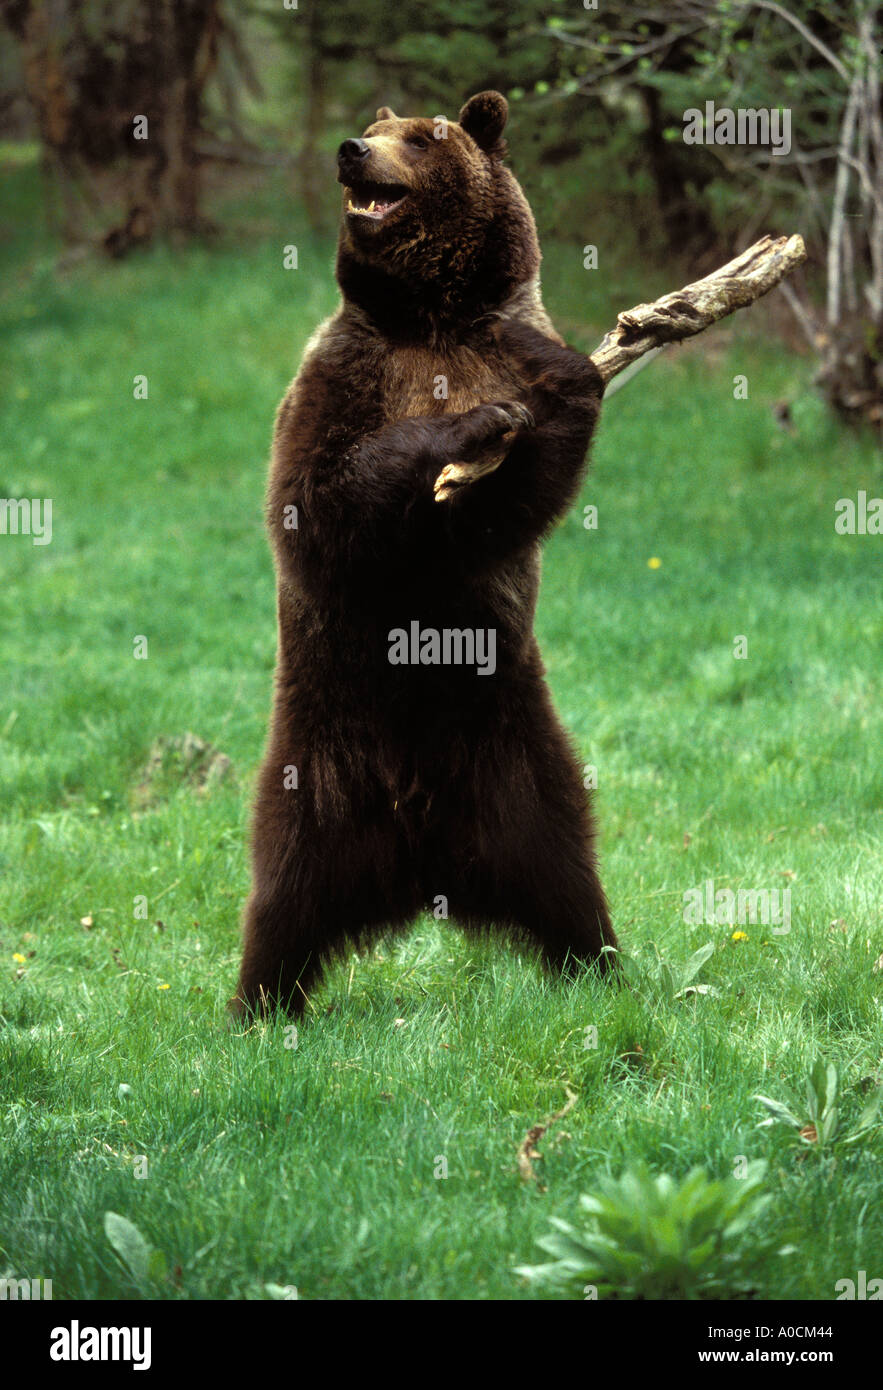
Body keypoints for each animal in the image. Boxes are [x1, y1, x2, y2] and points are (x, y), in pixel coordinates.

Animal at [230, 90, 619, 1020]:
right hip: (317, 762)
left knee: (565, 866)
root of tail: (419, 866)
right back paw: (256, 1004)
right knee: (281, 895)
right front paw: (468, 427)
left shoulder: (508, 345)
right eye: (375, 126)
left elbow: (522, 499)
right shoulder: (343, 371)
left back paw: (603, 968)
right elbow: (313, 502)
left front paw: (560, 388)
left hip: (513, 752)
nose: (350, 148)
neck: (432, 319)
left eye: (421, 136)